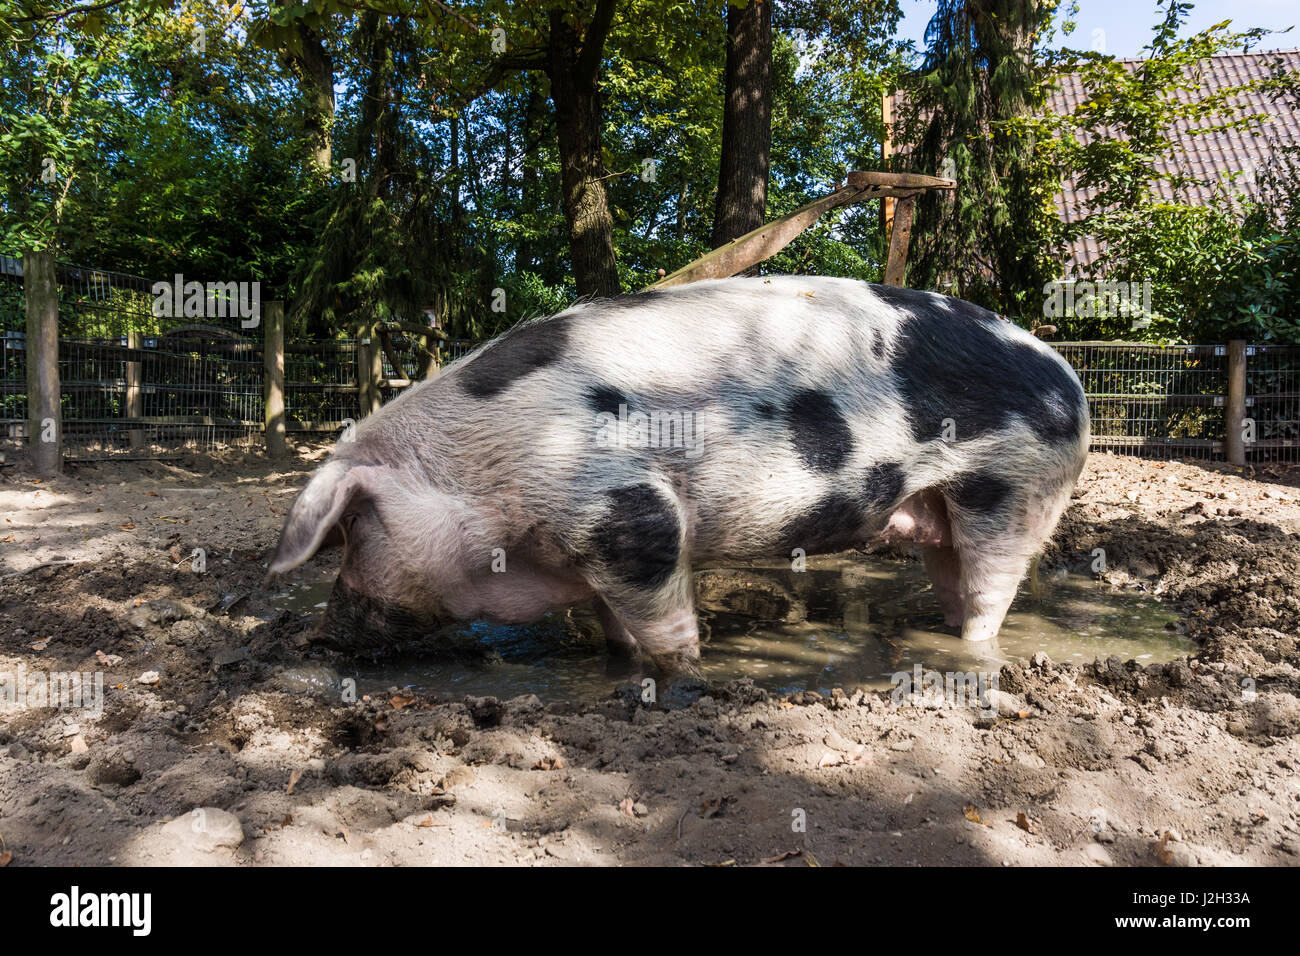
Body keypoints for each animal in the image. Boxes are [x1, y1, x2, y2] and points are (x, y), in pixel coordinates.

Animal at [269, 276, 1089, 672]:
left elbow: (667, 628)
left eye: (354, 532)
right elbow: (613, 630)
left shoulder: (630, 516)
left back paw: (968, 650)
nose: (321, 637)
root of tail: (1069, 375)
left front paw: (685, 673)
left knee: (989, 596)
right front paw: (618, 663)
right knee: (952, 576)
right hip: (951, 508)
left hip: (1015, 489)